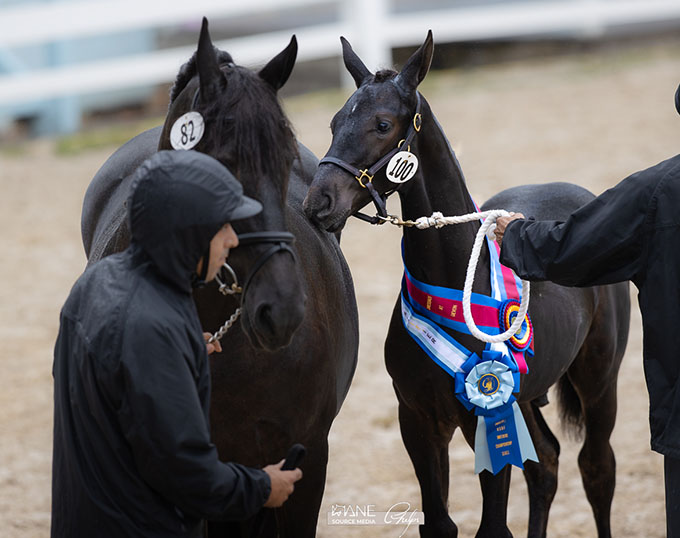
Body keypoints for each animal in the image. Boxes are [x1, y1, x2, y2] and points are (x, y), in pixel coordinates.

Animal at [303, 32, 630, 538]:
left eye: (382, 124)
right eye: (336, 121)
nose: (318, 203)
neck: (456, 278)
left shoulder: (487, 417)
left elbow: (493, 525)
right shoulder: (418, 422)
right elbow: (439, 522)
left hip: (599, 381)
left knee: (597, 469)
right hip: (528, 398)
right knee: (547, 464)